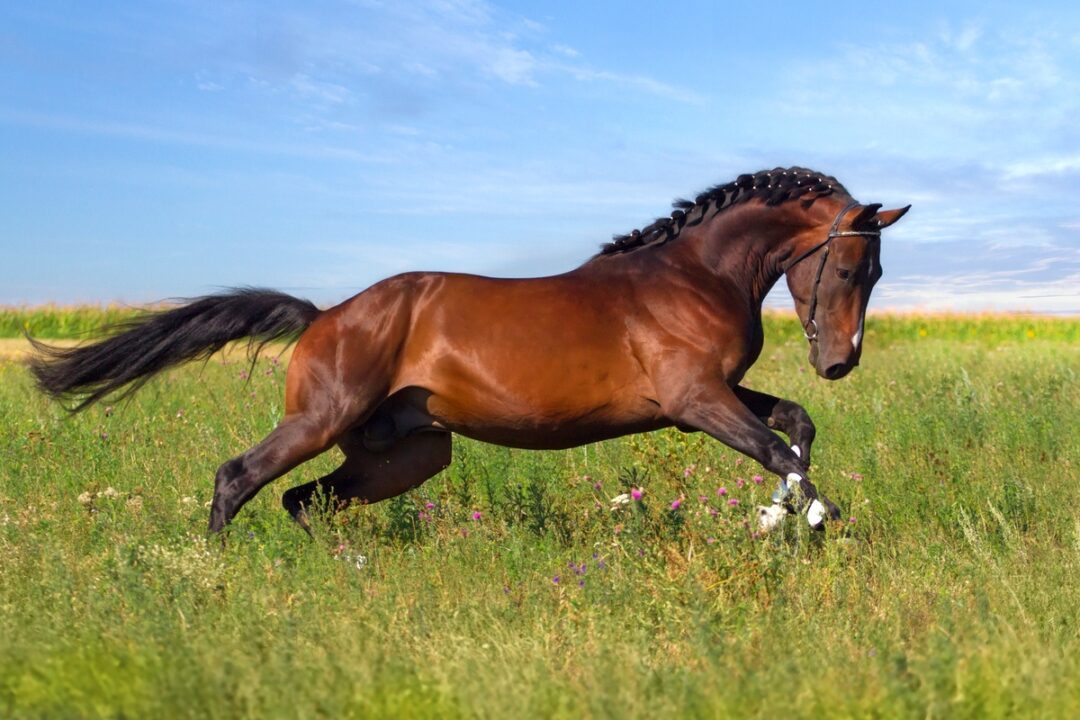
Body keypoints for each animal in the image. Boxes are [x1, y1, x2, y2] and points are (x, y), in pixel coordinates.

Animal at [29, 167, 909, 536]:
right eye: (854, 267)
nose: (840, 361)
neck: (690, 274)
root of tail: (325, 316)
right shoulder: (695, 400)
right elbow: (780, 450)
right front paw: (807, 519)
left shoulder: (707, 399)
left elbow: (795, 427)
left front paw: (783, 515)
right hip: (325, 422)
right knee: (239, 479)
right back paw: (218, 573)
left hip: (410, 452)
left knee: (305, 502)